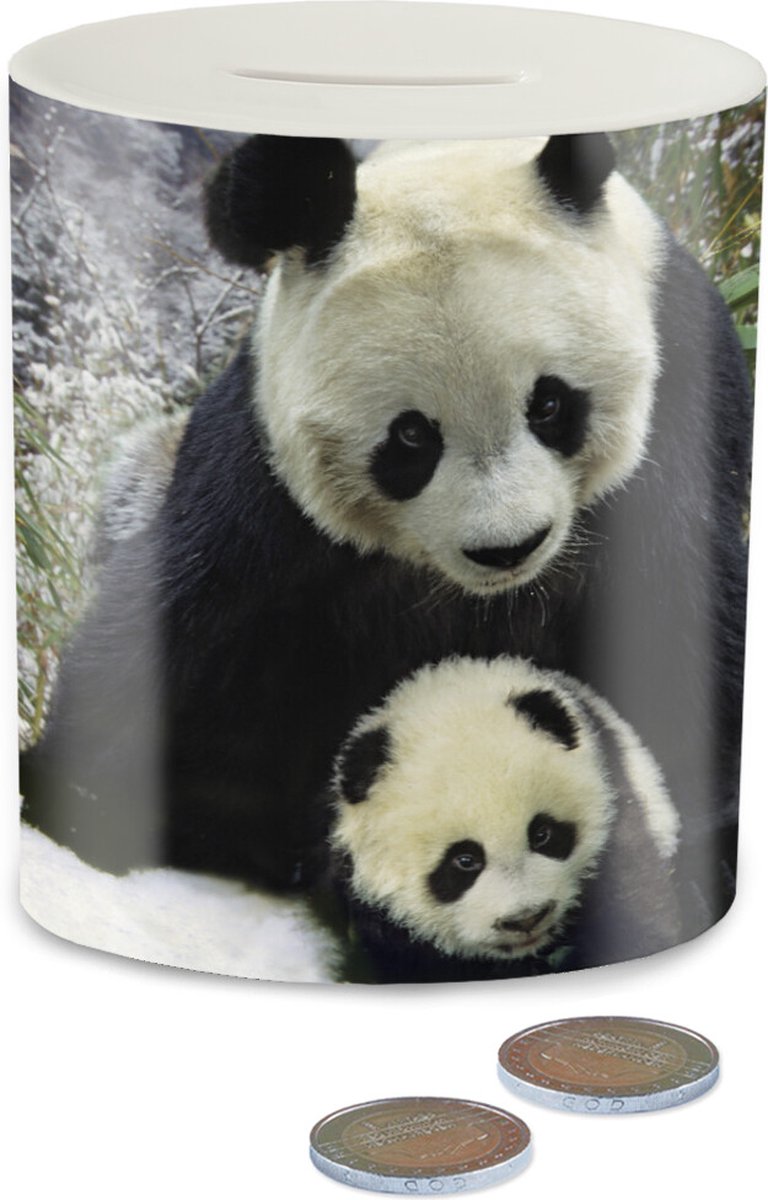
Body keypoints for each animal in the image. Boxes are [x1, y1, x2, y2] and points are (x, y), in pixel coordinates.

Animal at [21, 134, 750, 934]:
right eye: (411, 438)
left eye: (551, 403)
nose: (508, 547)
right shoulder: (264, 488)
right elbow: (183, 626)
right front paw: (78, 802)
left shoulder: (681, 410)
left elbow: (682, 622)